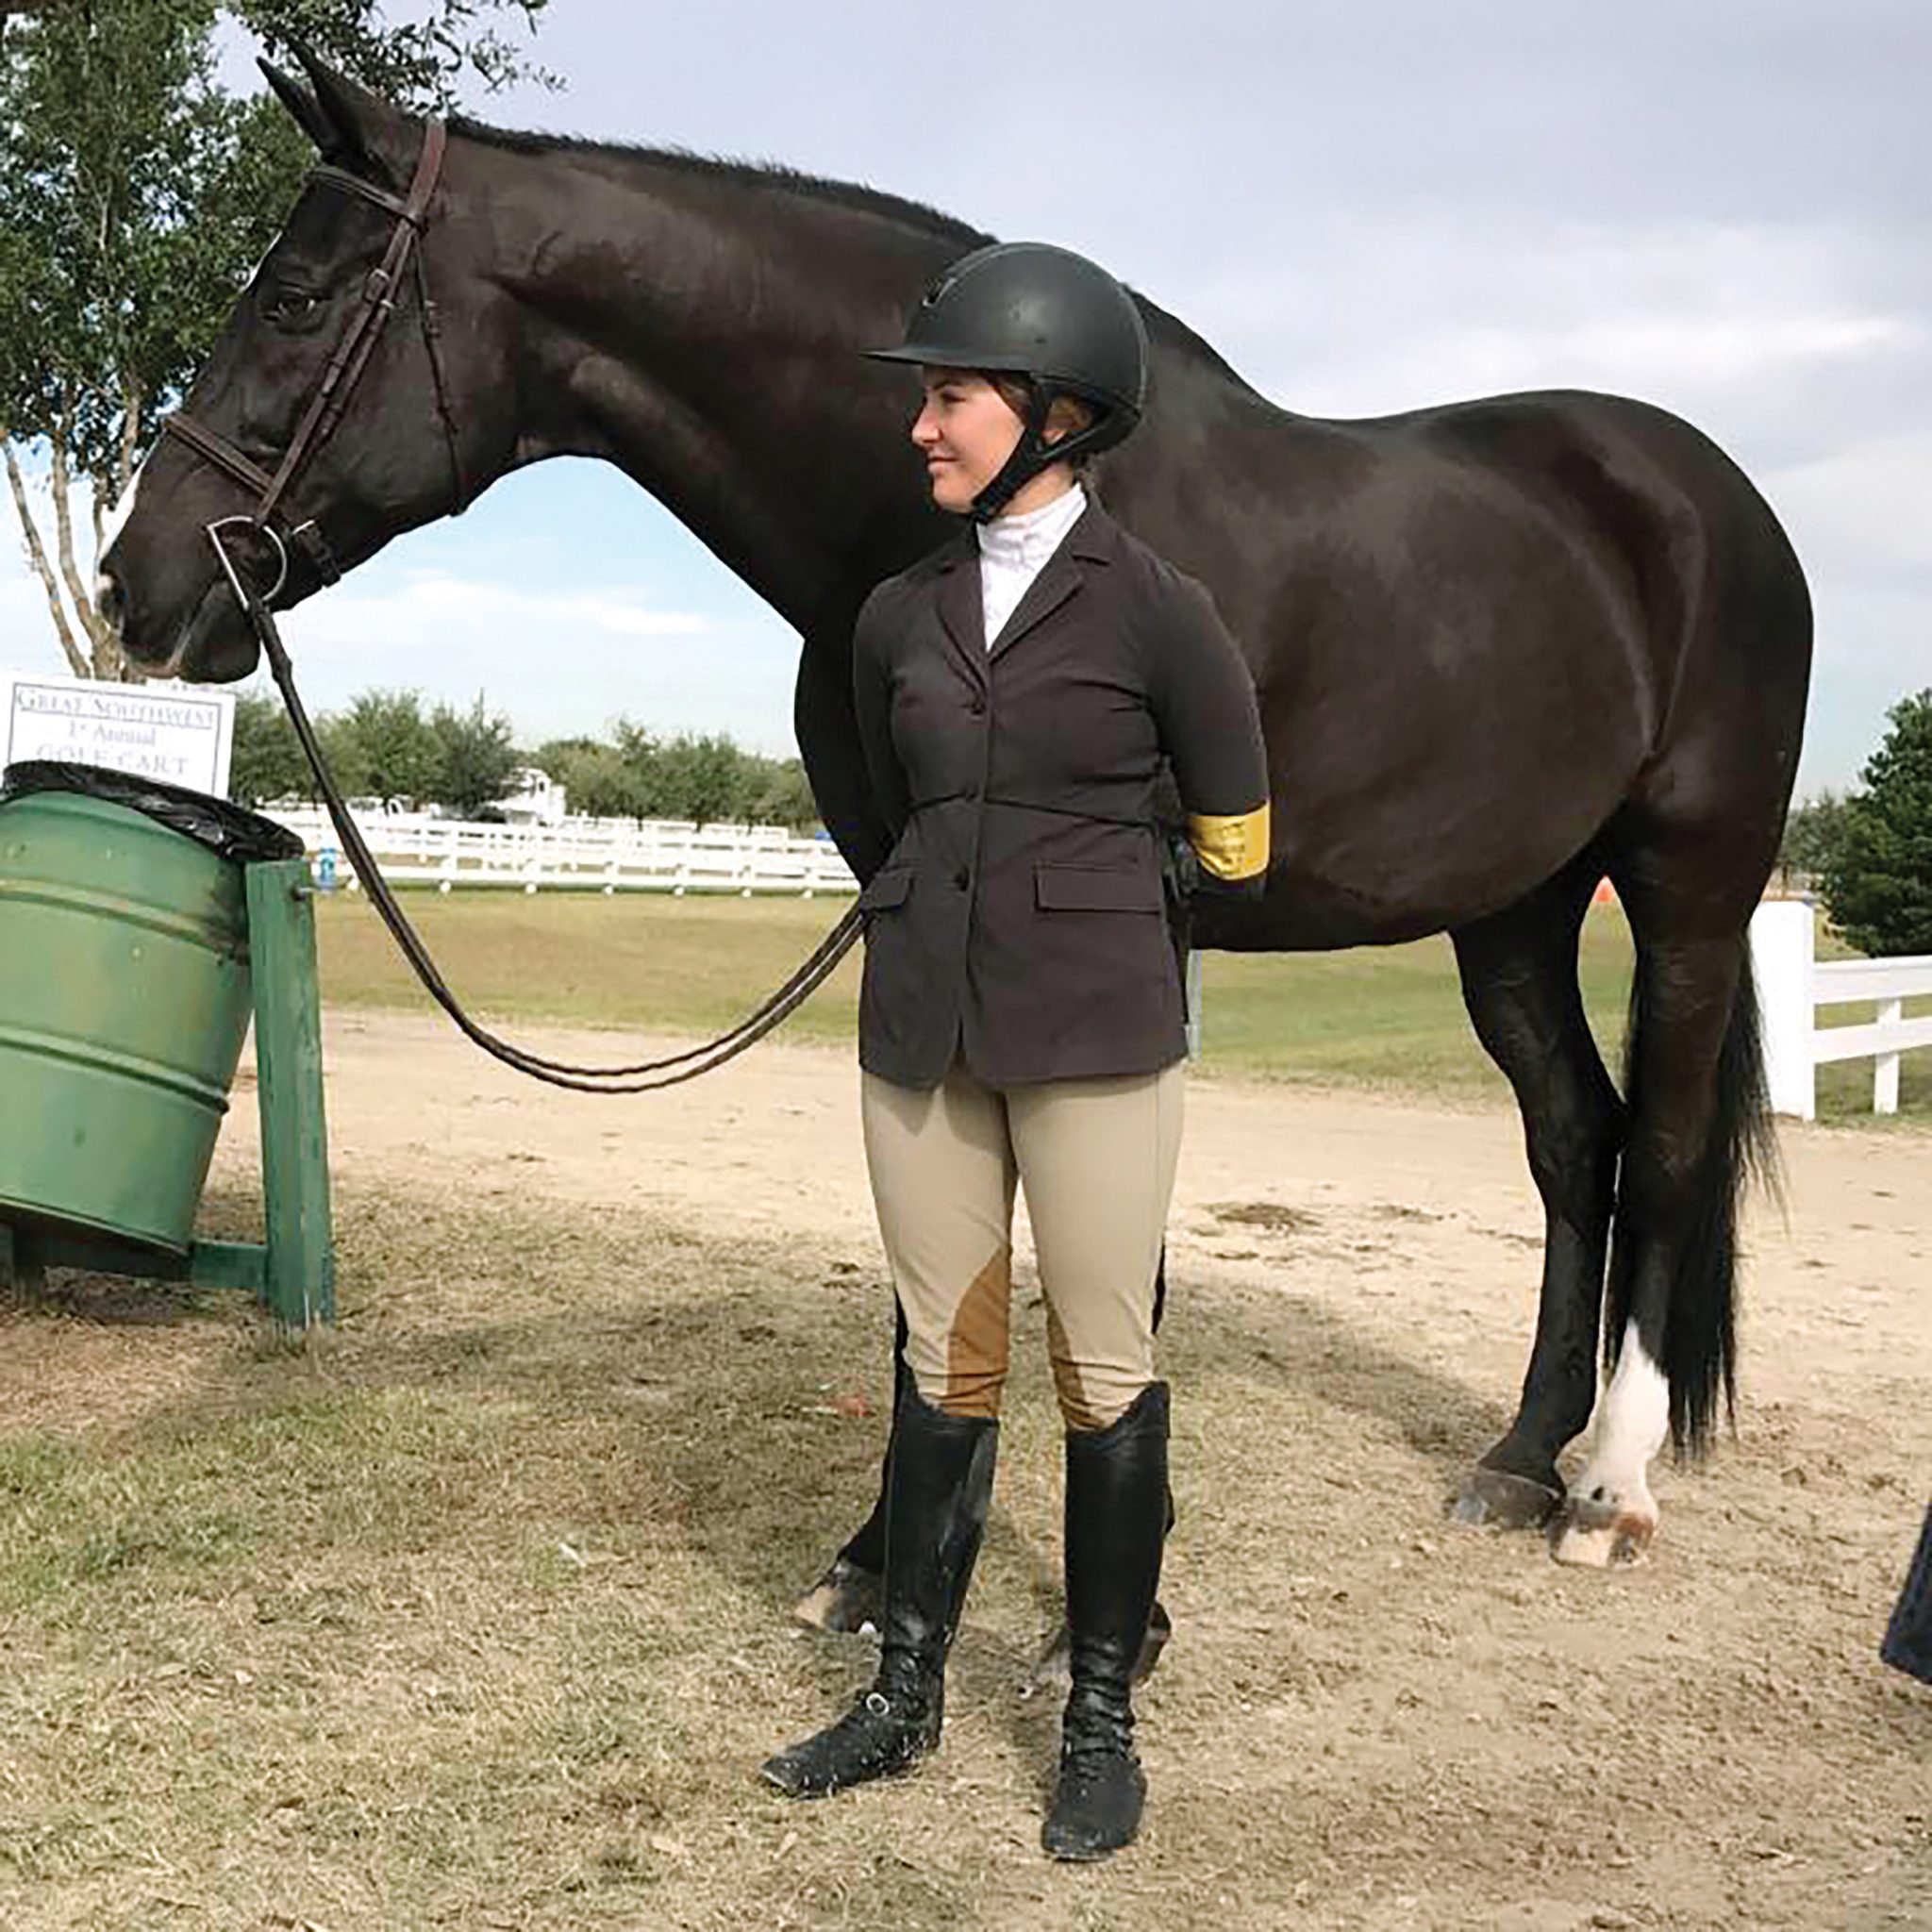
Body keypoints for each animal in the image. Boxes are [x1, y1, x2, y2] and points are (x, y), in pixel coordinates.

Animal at [99, 47, 1810, 1581]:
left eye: (297, 302)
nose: (137, 586)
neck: (997, 524)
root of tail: (1705, 498)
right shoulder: (919, 900)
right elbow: (946, 1239)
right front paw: (889, 1557)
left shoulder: (1133, 927)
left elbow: (1117, 1247)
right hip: (1514, 908)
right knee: (1570, 1140)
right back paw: (1518, 1457)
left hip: (1685, 892)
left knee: (1659, 1150)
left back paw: (1607, 1488)